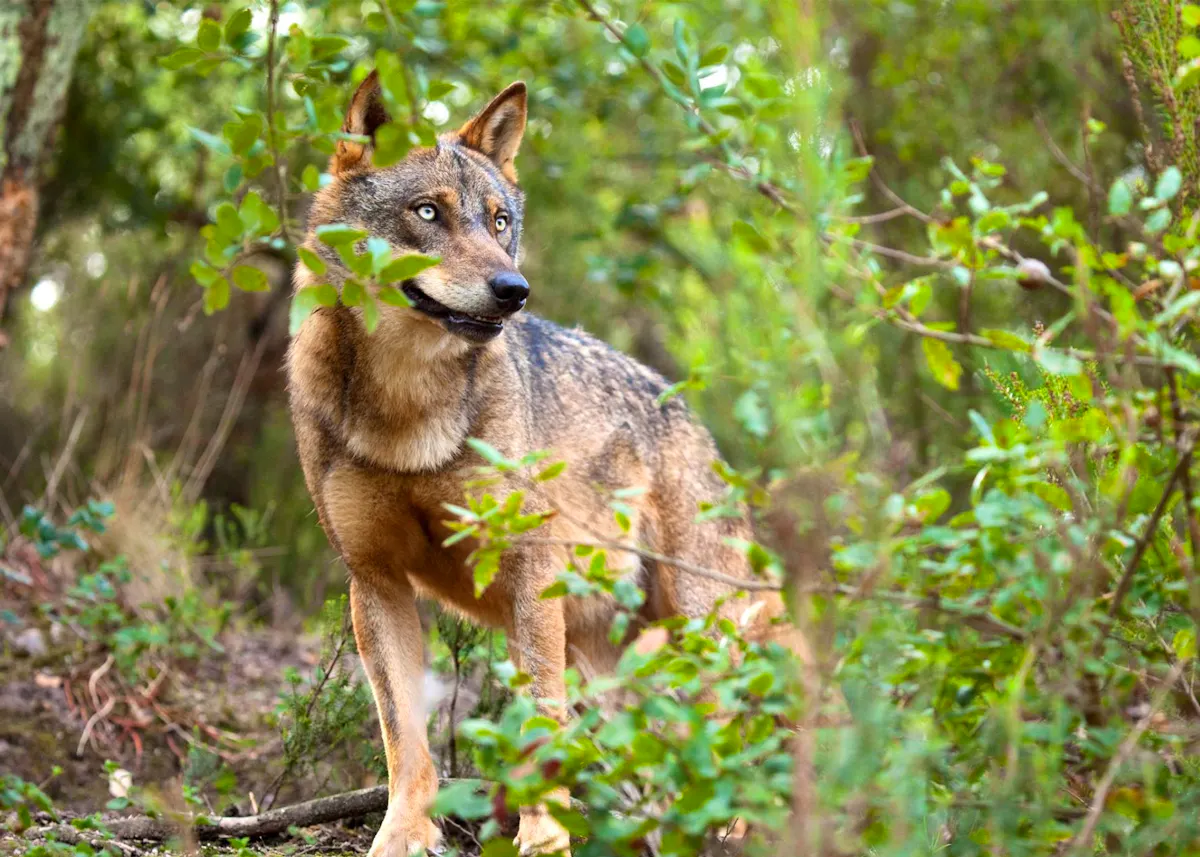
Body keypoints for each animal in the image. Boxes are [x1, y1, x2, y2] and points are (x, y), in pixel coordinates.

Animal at [287, 73, 808, 857]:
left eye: (499, 221)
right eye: (429, 212)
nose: (514, 290)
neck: (408, 417)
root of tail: (691, 415)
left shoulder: (529, 568)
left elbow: (537, 722)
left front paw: (543, 837)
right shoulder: (374, 581)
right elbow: (406, 741)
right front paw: (403, 835)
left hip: (700, 625)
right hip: (617, 660)